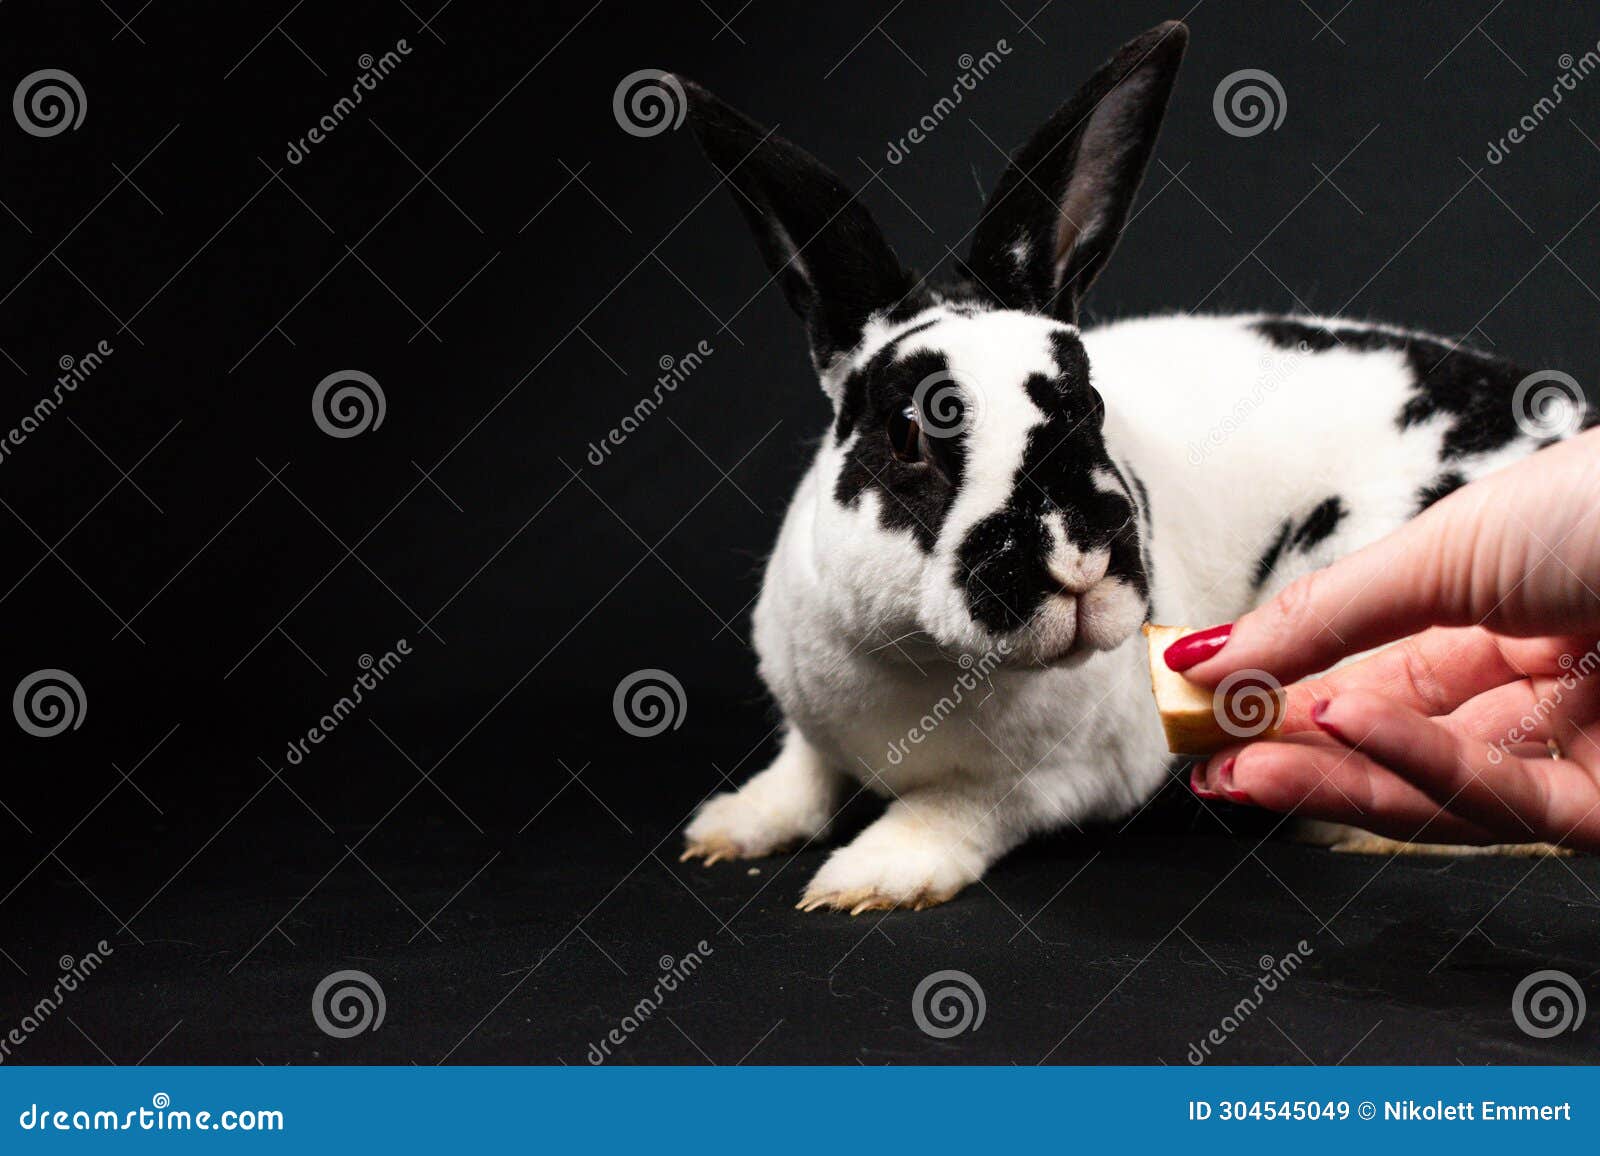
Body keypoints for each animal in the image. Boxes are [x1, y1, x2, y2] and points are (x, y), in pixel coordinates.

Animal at [674, 21, 1593, 912]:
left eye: (1090, 401)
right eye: (906, 434)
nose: (1075, 550)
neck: (922, 660)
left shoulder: (1063, 778)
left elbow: (959, 806)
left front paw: (868, 879)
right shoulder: (811, 722)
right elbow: (802, 770)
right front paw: (726, 831)